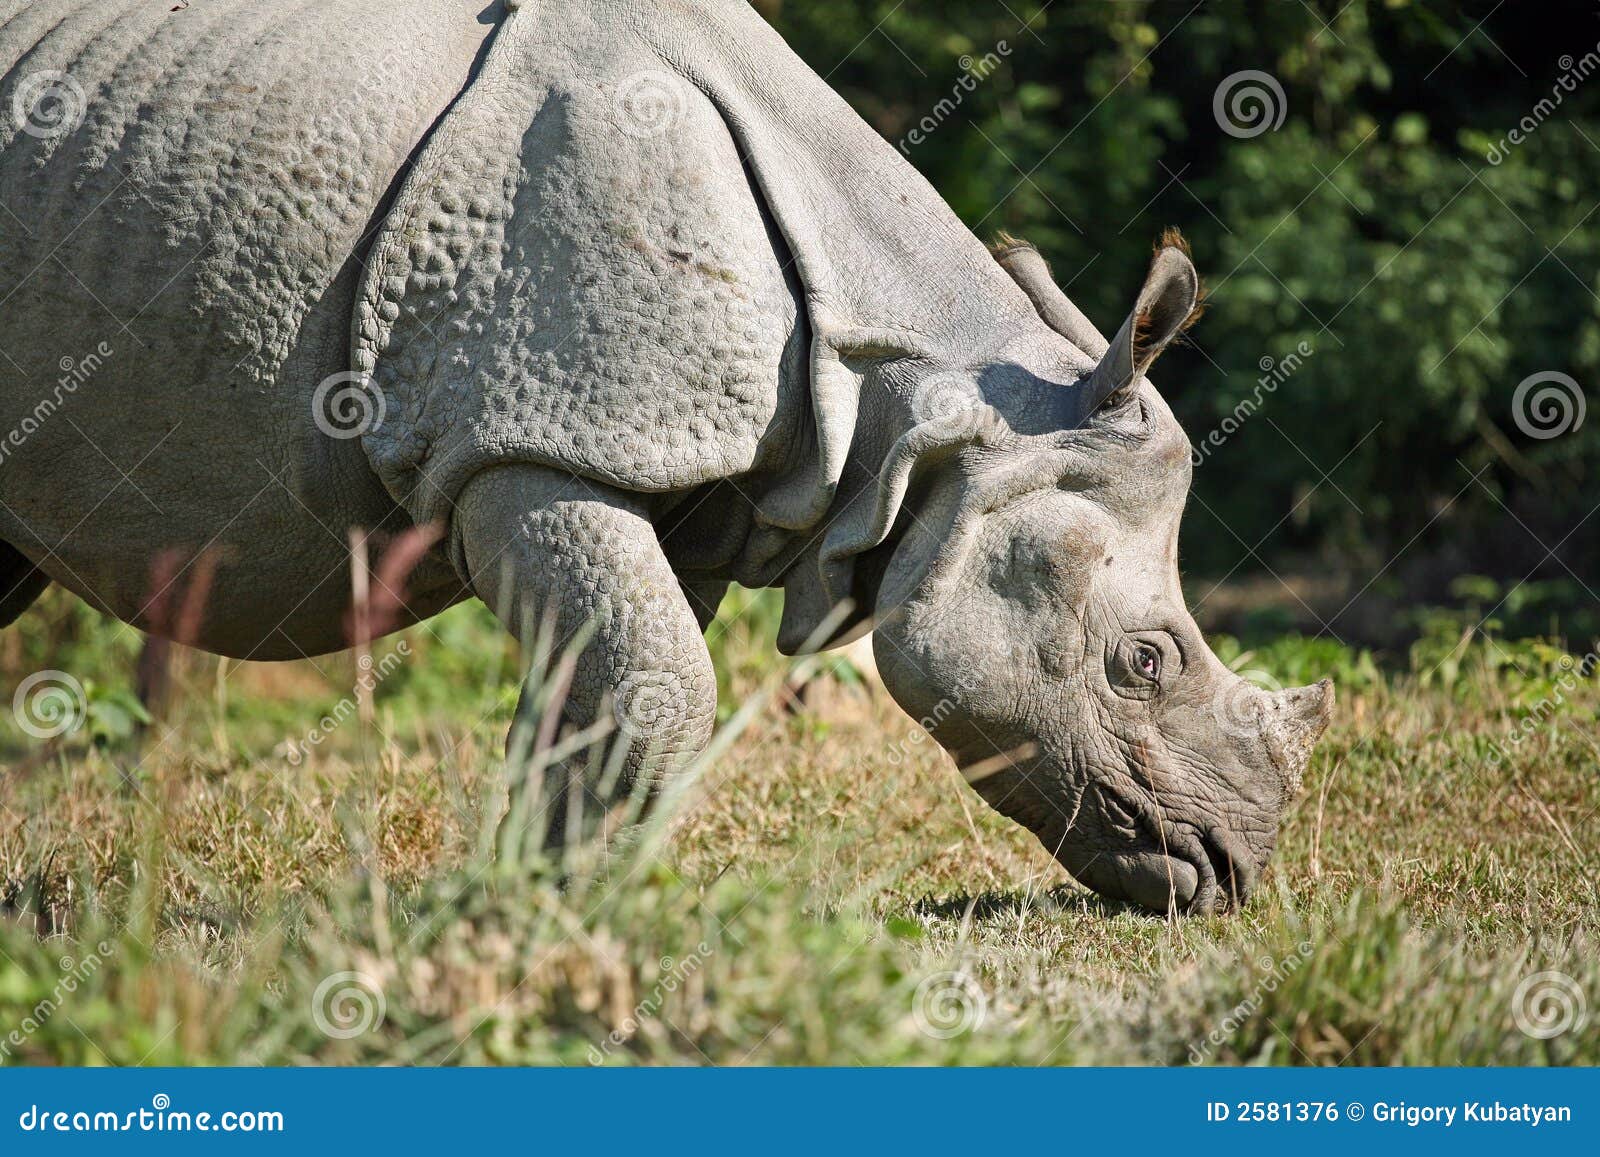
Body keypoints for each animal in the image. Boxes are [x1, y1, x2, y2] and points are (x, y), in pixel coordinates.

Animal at [0, 0, 1332, 913]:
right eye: (1142, 661)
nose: (1232, 869)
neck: (927, 404)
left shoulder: (673, 476)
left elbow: (611, 694)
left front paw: (527, 908)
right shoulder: (527, 445)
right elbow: (664, 687)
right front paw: (551, 931)